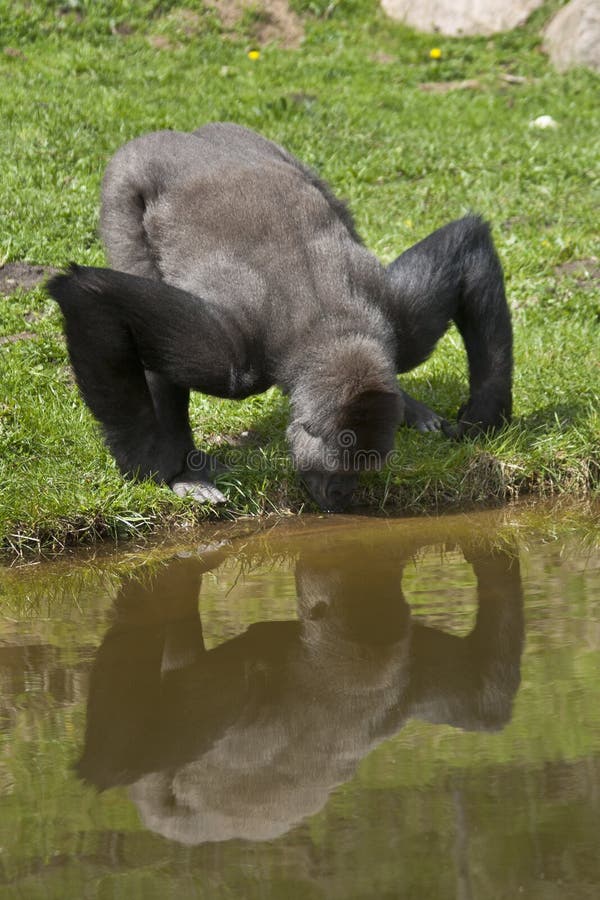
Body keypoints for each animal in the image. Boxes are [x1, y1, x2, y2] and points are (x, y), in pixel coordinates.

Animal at [48, 123, 513, 511]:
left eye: (363, 473)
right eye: (339, 472)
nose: (343, 496)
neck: (329, 334)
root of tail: (185, 135)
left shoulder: (403, 329)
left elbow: (468, 241)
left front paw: (483, 420)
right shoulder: (233, 359)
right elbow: (93, 299)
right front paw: (154, 466)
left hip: (279, 151)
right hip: (124, 180)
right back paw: (181, 462)